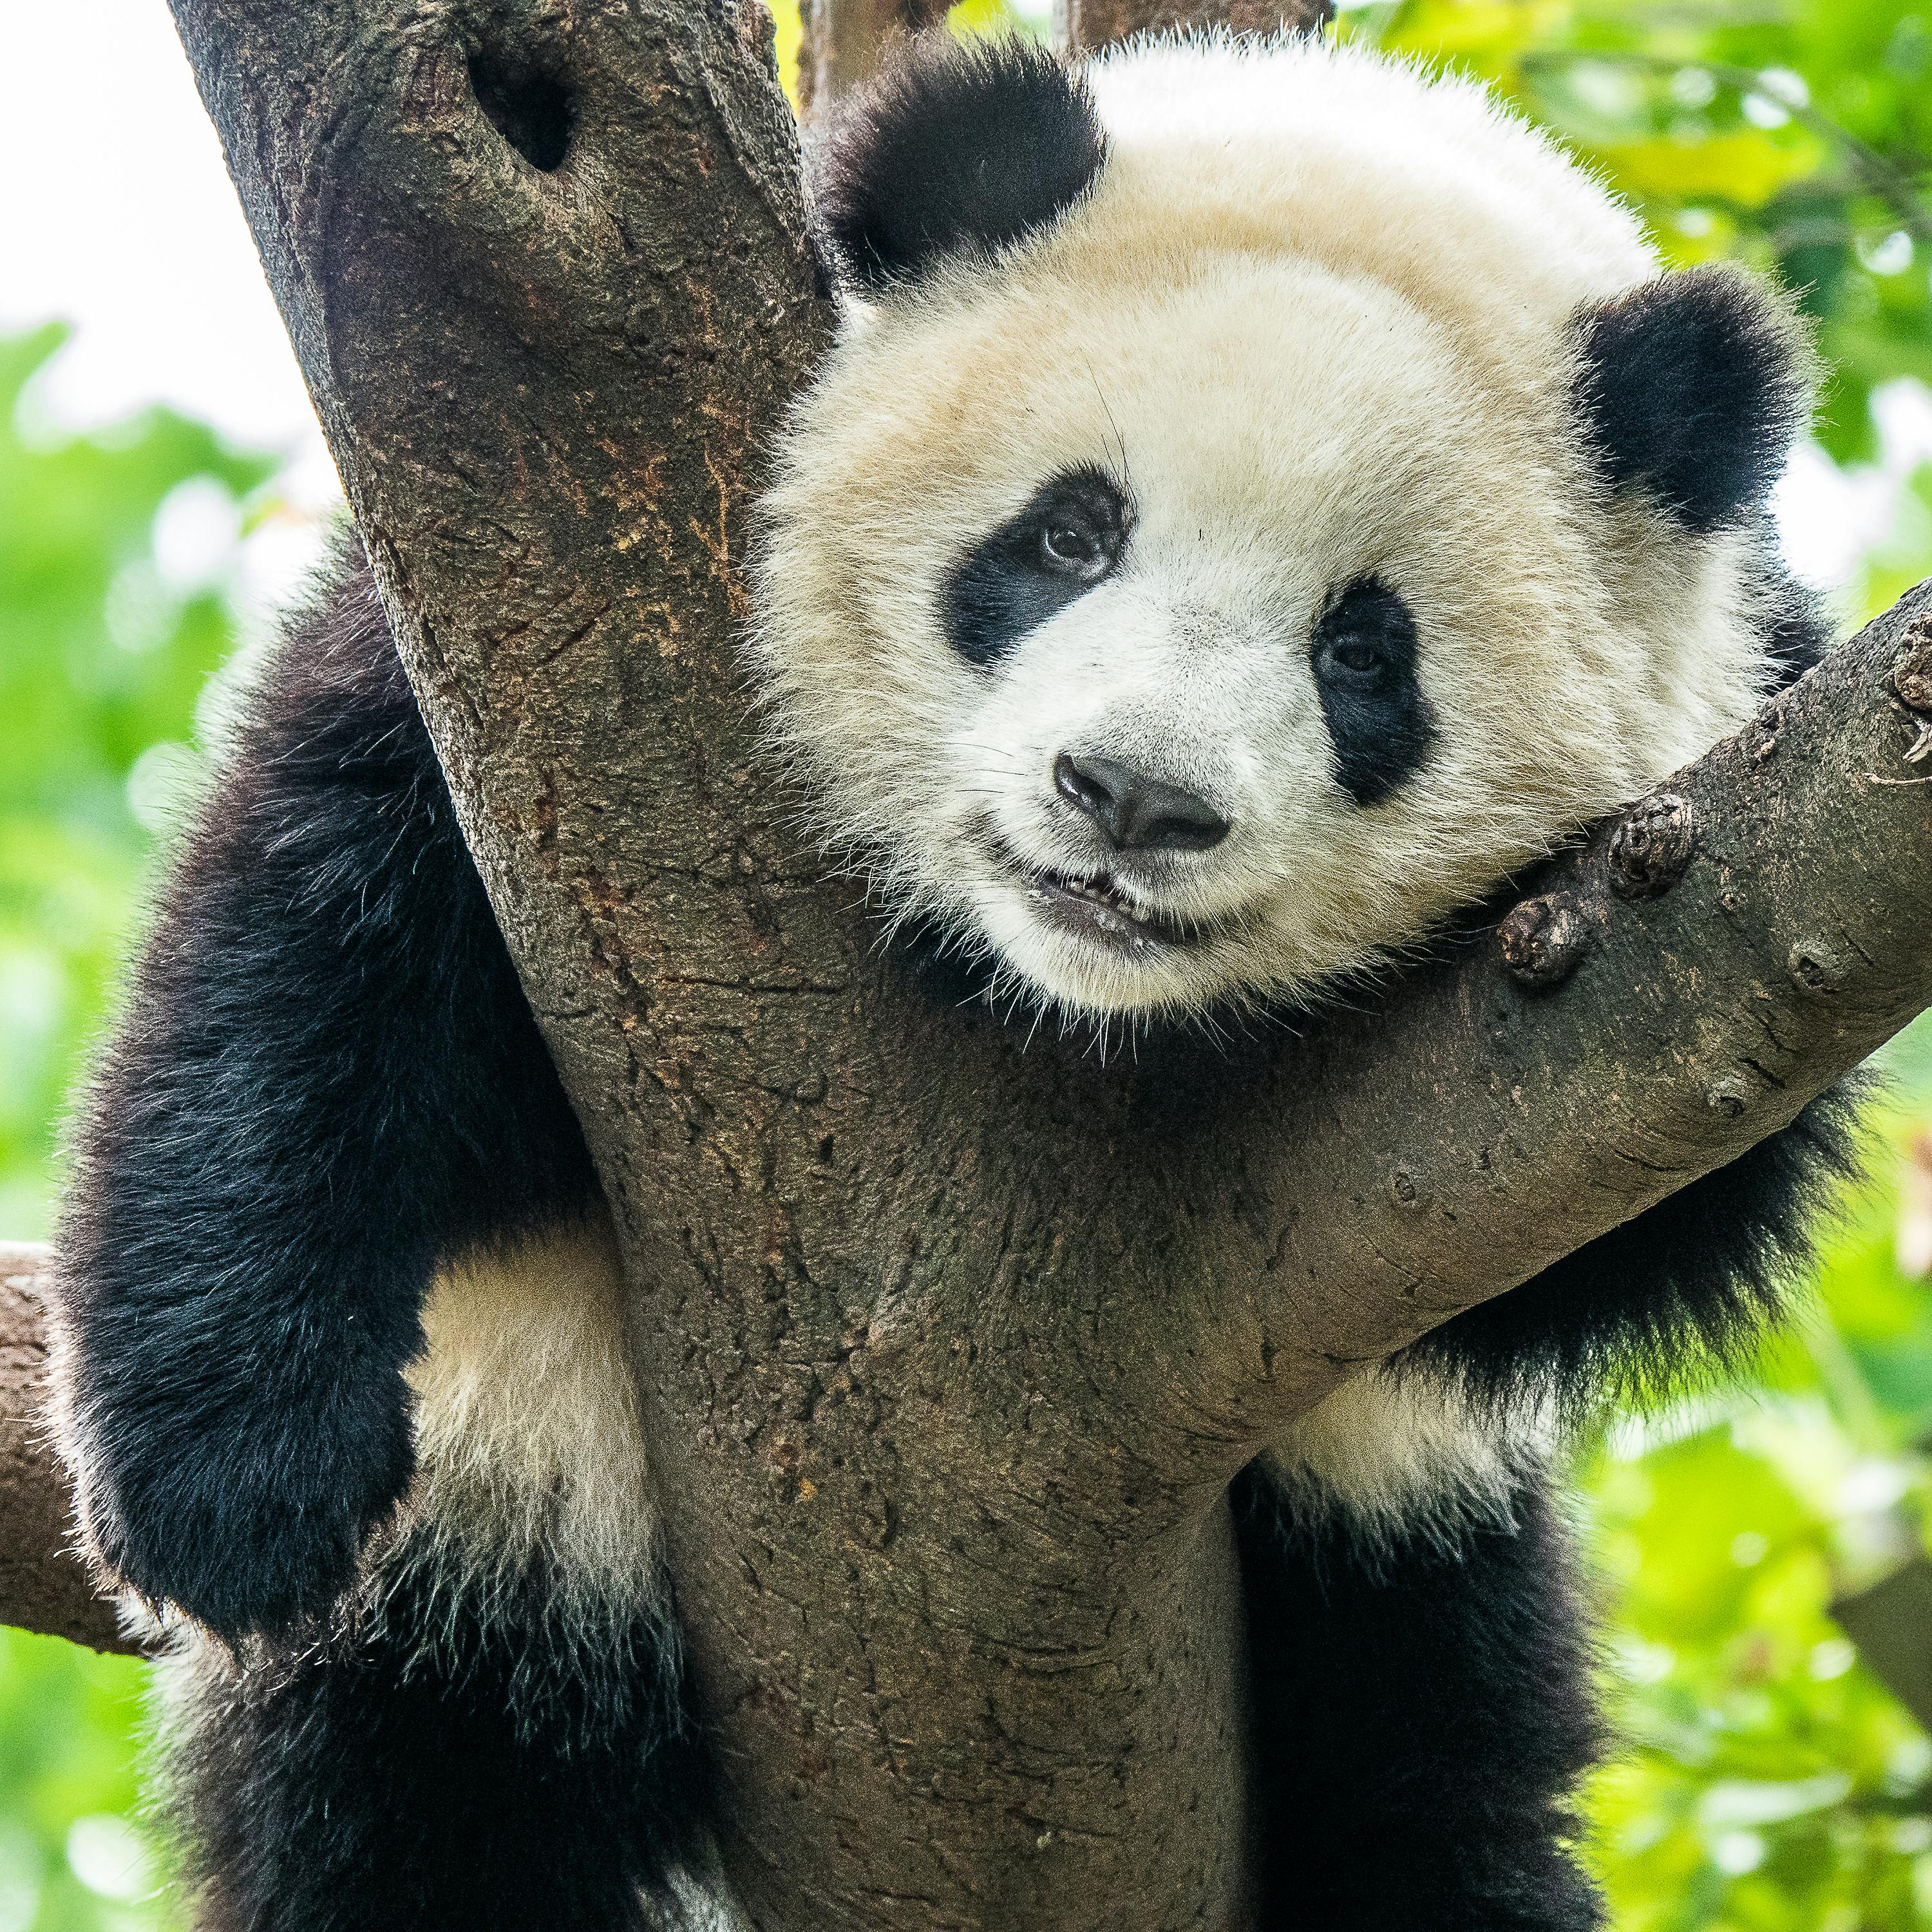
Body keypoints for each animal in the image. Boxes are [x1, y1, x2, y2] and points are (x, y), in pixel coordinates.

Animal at [49, 27, 1861, 1932]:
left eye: (1365, 651)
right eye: (1069, 536)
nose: (1133, 798)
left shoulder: (1737, 707)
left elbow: (1655, 1211)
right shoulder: (521, 700)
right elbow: (317, 919)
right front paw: (230, 1486)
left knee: (1433, 1775)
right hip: (503, 1516)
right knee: (421, 1802)